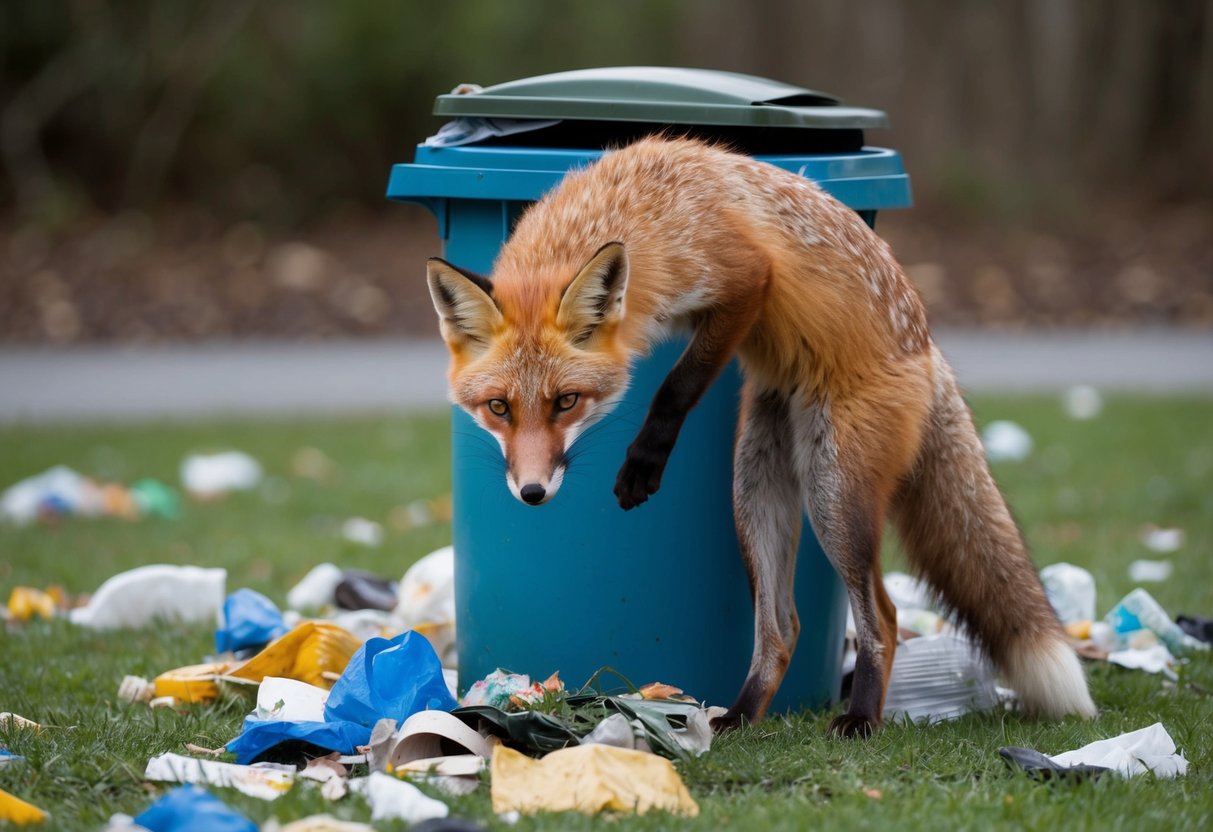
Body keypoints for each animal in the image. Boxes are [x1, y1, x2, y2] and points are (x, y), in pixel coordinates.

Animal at [425, 136, 1096, 737]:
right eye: (498, 408)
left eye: (566, 402)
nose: (533, 493)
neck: (643, 213)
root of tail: (928, 348)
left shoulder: (744, 279)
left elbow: (676, 384)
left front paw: (644, 460)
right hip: (754, 485)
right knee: (783, 627)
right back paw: (742, 715)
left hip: (832, 492)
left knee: (883, 616)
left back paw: (861, 717)